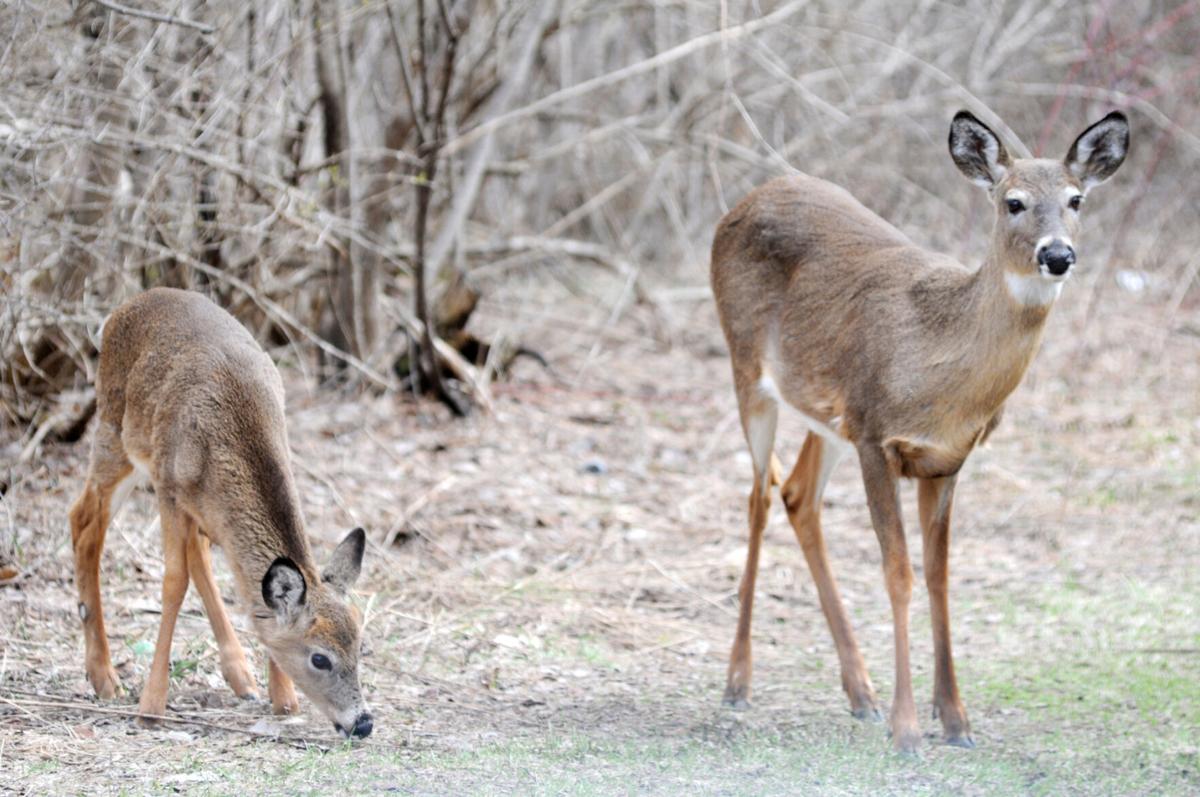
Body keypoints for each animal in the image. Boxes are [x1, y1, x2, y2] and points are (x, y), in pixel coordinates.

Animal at [68, 287, 374, 738]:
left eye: (360, 646)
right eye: (320, 657)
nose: (363, 722)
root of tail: (126, 306)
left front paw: (283, 698)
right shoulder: (169, 487)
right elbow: (173, 583)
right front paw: (151, 706)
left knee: (196, 553)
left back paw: (241, 677)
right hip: (114, 434)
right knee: (84, 520)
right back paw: (104, 676)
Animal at [710, 110, 1129, 752]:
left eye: (1076, 199)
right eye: (1013, 202)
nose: (1058, 254)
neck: (939, 370)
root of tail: (749, 198)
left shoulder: (946, 460)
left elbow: (939, 577)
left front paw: (954, 718)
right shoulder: (875, 437)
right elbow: (898, 573)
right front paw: (907, 727)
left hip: (826, 413)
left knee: (797, 494)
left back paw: (860, 691)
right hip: (748, 370)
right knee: (759, 495)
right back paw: (738, 682)